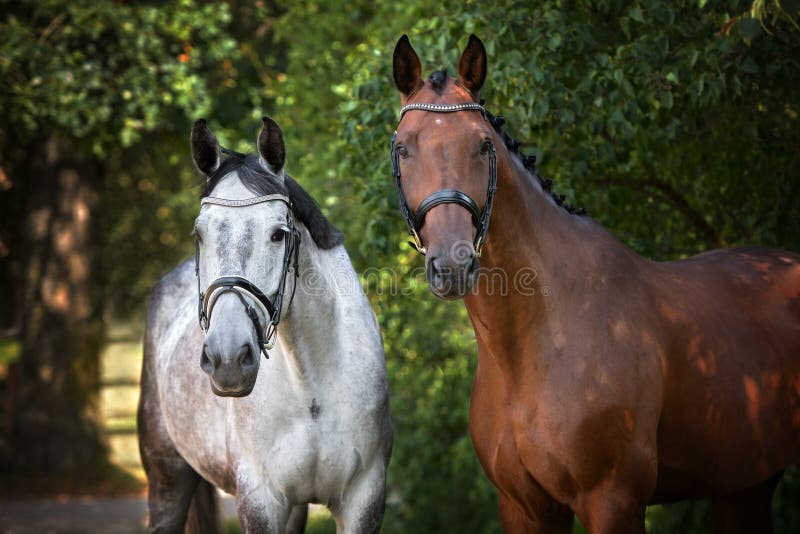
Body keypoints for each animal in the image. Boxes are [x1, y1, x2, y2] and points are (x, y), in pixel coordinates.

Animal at [137, 117, 392, 533]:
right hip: (167, 479)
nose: (227, 359)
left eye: (278, 234)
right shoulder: (260, 501)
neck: (310, 389)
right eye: (199, 233)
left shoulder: (364, 500)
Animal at [390, 34, 800, 533]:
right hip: (745, 483)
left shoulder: (613, 499)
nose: (453, 264)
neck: (534, 344)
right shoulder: (523, 507)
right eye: (403, 148)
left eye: (484, 146)